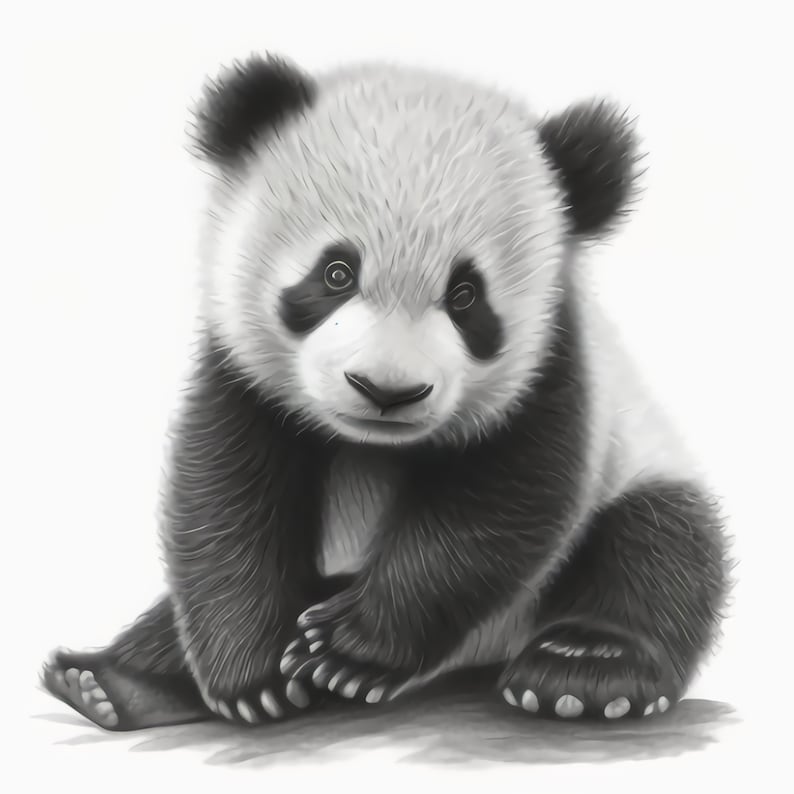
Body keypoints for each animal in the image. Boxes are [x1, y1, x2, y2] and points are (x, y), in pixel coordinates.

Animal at [41, 53, 730, 731]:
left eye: (466, 296)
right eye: (335, 273)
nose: (386, 390)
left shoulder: (554, 372)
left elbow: (496, 505)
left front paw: (344, 652)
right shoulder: (243, 370)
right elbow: (225, 497)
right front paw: (253, 675)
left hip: (630, 475)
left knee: (656, 549)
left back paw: (579, 673)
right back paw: (110, 684)